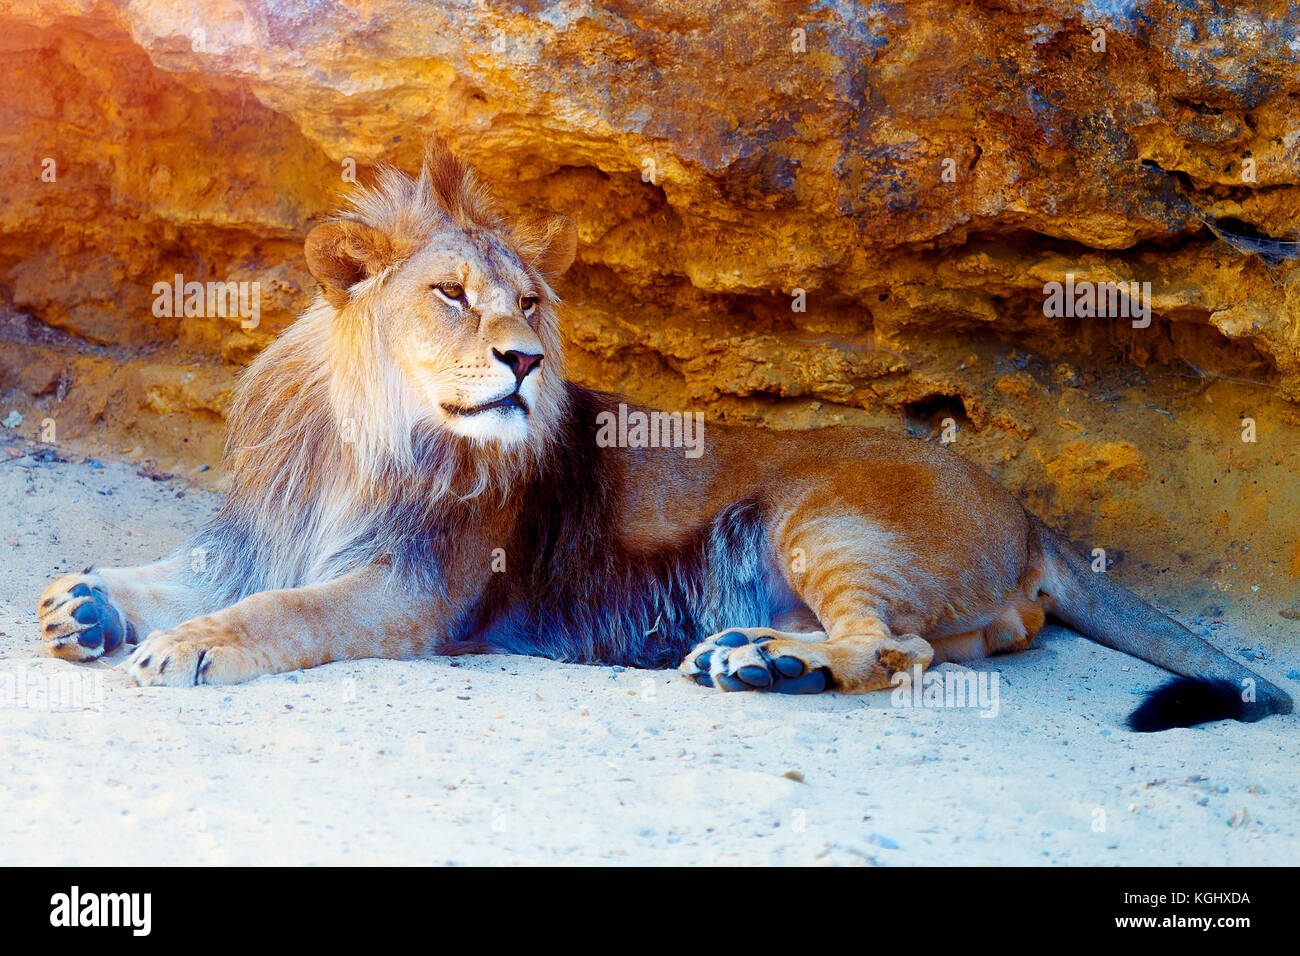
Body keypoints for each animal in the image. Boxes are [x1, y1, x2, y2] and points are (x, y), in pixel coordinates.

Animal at [36, 142, 1292, 732]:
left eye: (529, 302)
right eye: (450, 295)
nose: (524, 362)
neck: (364, 437)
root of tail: (1030, 516)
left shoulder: (410, 591)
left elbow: (278, 611)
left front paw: (190, 645)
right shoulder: (254, 535)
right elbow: (178, 570)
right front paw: (87, 602)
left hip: (820, 512)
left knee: (898, 648)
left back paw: (762, 661)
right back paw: (759, 653)